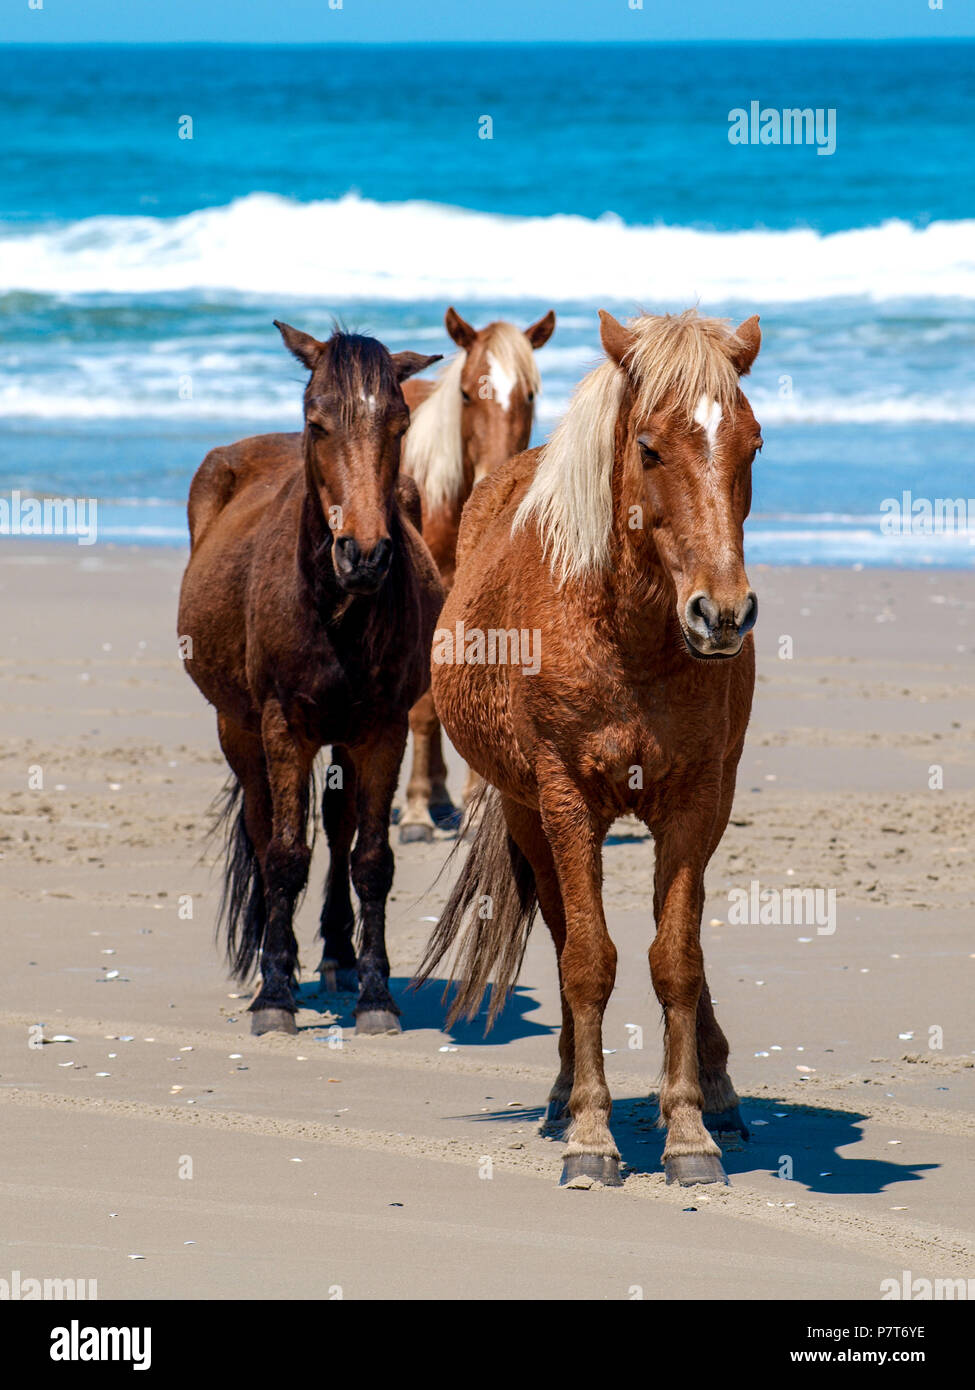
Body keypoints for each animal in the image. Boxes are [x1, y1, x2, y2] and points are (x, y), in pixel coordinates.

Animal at [178, 323, 444, 1036]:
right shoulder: (282, 726)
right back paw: (278, 965)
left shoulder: (382, 730)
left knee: (340, 824)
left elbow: (371, 859)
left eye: (400, 424)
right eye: (317, 423)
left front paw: (376, 994)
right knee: (264, 826)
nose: (365, 555)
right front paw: (274, 993)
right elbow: (284, 853)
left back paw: (336, 957)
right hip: (238, 729)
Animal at [397, 306, 555, 842]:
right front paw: (417, 811)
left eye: (529, 394)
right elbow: (425, 711)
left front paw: (469, 803)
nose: (496, 476)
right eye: (467, 394)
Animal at [416, 307, 763, 1186]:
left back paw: (717, 1090)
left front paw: (688, 1130)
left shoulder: (693, 801)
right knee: (562, 929)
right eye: (649, 447)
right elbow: (586, 959)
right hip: (525, 811)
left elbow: (676, 957)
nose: (722, 615)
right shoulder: (565, 798)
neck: (630, 633)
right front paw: (589, 1131)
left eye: (752, 444)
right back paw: (562, 1091)